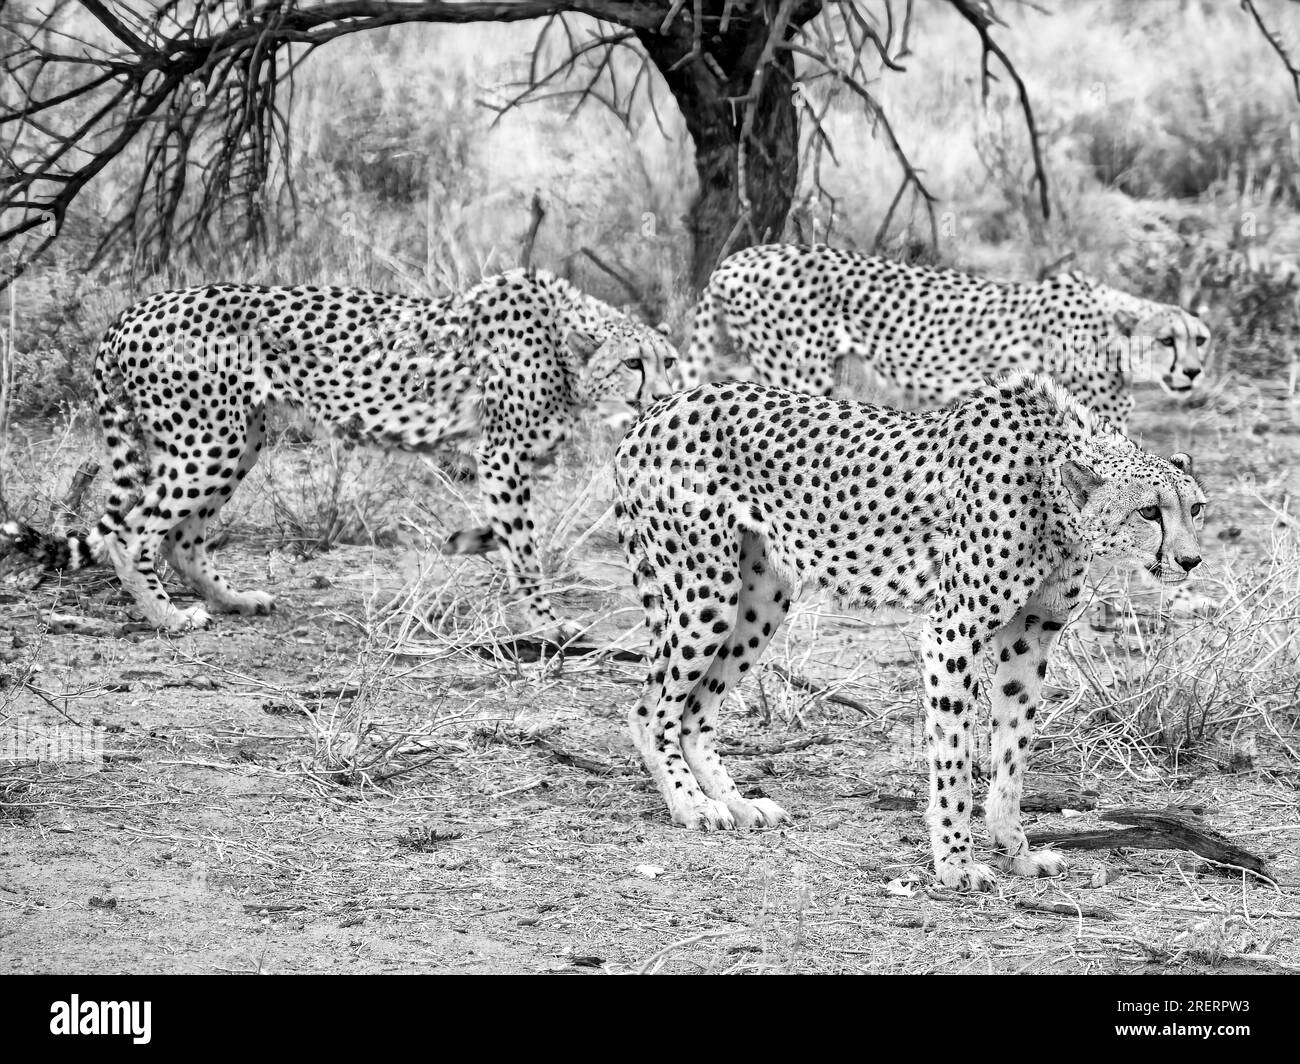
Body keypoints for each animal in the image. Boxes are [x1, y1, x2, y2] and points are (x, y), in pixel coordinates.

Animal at [1, 269, 678, 636]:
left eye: (667, 360)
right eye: (633, 364)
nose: (663, 394)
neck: (566, 350)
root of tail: (131, 310)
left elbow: (511, 534)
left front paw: (470, 541)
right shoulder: (502, 453)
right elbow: (527, 548)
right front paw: (548, 622)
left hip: (240, 438)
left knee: (181, 536)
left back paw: (235, 600)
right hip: (208, 439)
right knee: (135, 530)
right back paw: (169, 618)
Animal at [614, 369, 1206, 891]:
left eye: (1196, 509)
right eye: (1149, 512)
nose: (1191, 559)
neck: (1055, 496)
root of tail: (658, 407)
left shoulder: (1033, 632)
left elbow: (1013, 750)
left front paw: (1016, 849)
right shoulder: (952, 632)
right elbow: (955, 757)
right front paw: (955, 864)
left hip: (762, 597)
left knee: (694, 711)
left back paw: (736, 802)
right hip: (706, 593)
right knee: (650, 710)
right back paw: (693, 805)